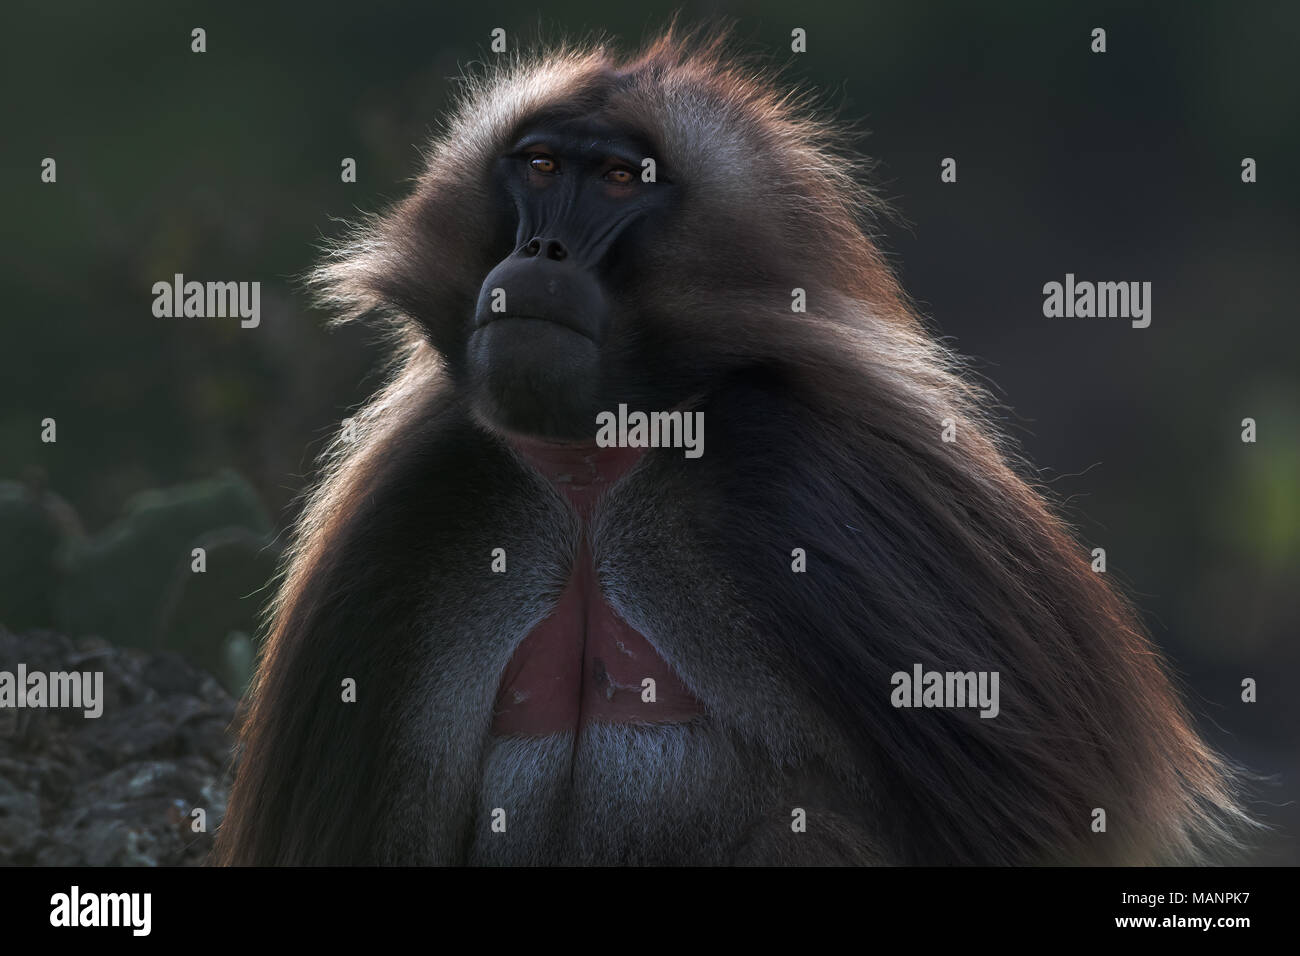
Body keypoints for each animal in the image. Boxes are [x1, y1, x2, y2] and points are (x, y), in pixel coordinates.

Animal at [216, 29, 1252, 865]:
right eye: (540, 166)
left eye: (621, 180)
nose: (542, 254)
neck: (595, 471)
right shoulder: (417, 497)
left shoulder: (810, 484)